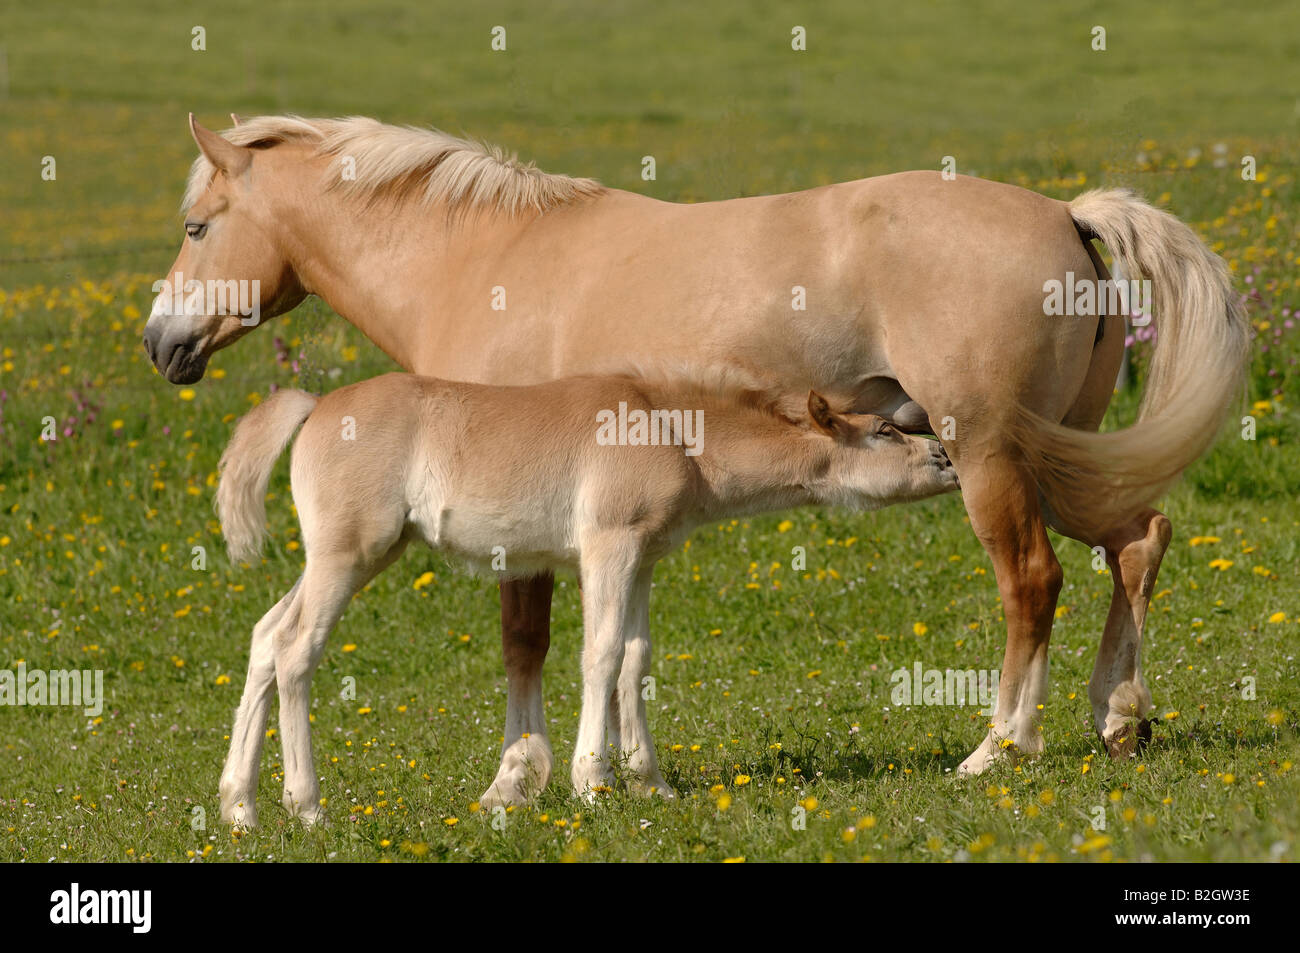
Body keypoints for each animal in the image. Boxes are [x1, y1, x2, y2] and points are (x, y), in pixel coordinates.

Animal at [212, 371, 958, 825]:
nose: (948, 460)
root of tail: (316, 406)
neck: (673, 435)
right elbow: (599, 657)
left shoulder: (643, 559)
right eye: (885, 432)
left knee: (264, 636)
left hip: (351, 555)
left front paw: (651, 782)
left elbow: (635, 658)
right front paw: (593, 782)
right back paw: (306, 806)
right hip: (348, 555)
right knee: (296, 650)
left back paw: (239, 808)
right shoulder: (608, 547)